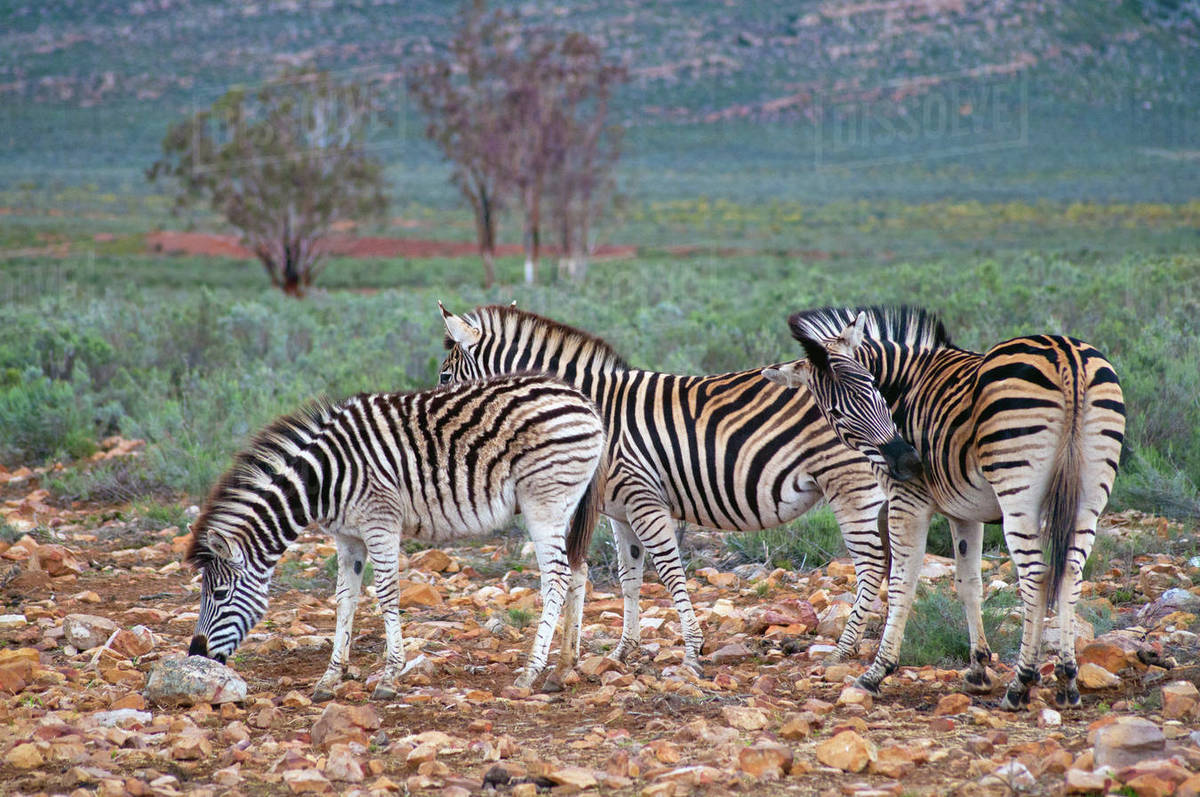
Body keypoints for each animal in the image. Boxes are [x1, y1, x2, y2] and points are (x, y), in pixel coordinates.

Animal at [185, 373, 607, 699]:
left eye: (218, 594)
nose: (195, 654)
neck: (323, 478)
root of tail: (584, 401)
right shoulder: (348, 537)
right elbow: (345, 598)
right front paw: (331, 676)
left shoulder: (380, 521)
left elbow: (386, 592)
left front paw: (390, 675)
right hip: (564, 505)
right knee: (577, 570)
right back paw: (562, 667)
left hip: (543, 503)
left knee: (556, 577)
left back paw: (531, 673)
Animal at [438, 302, 898, 672]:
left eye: (443, 376)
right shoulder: (620, 510)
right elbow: (630, 576)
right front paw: (624, 650)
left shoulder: (644, 498)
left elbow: (671, 571)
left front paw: (693, 651)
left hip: (850, 486)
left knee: (871, 566)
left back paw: (842, 651)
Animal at [765, 306, 1125, 710]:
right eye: (835, 412)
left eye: (875, 390)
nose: (910, 463)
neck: (904, 382)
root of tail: (1067, 356)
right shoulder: (963, 512)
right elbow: (969, 584)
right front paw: (979, 669)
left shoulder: (908, 500)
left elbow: (901, 583)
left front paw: (877, 672)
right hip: (1090, 491)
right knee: (1070, 573)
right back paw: (1067, 681)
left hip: (1018, 489)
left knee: (1037, 574)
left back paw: (1021, 684)